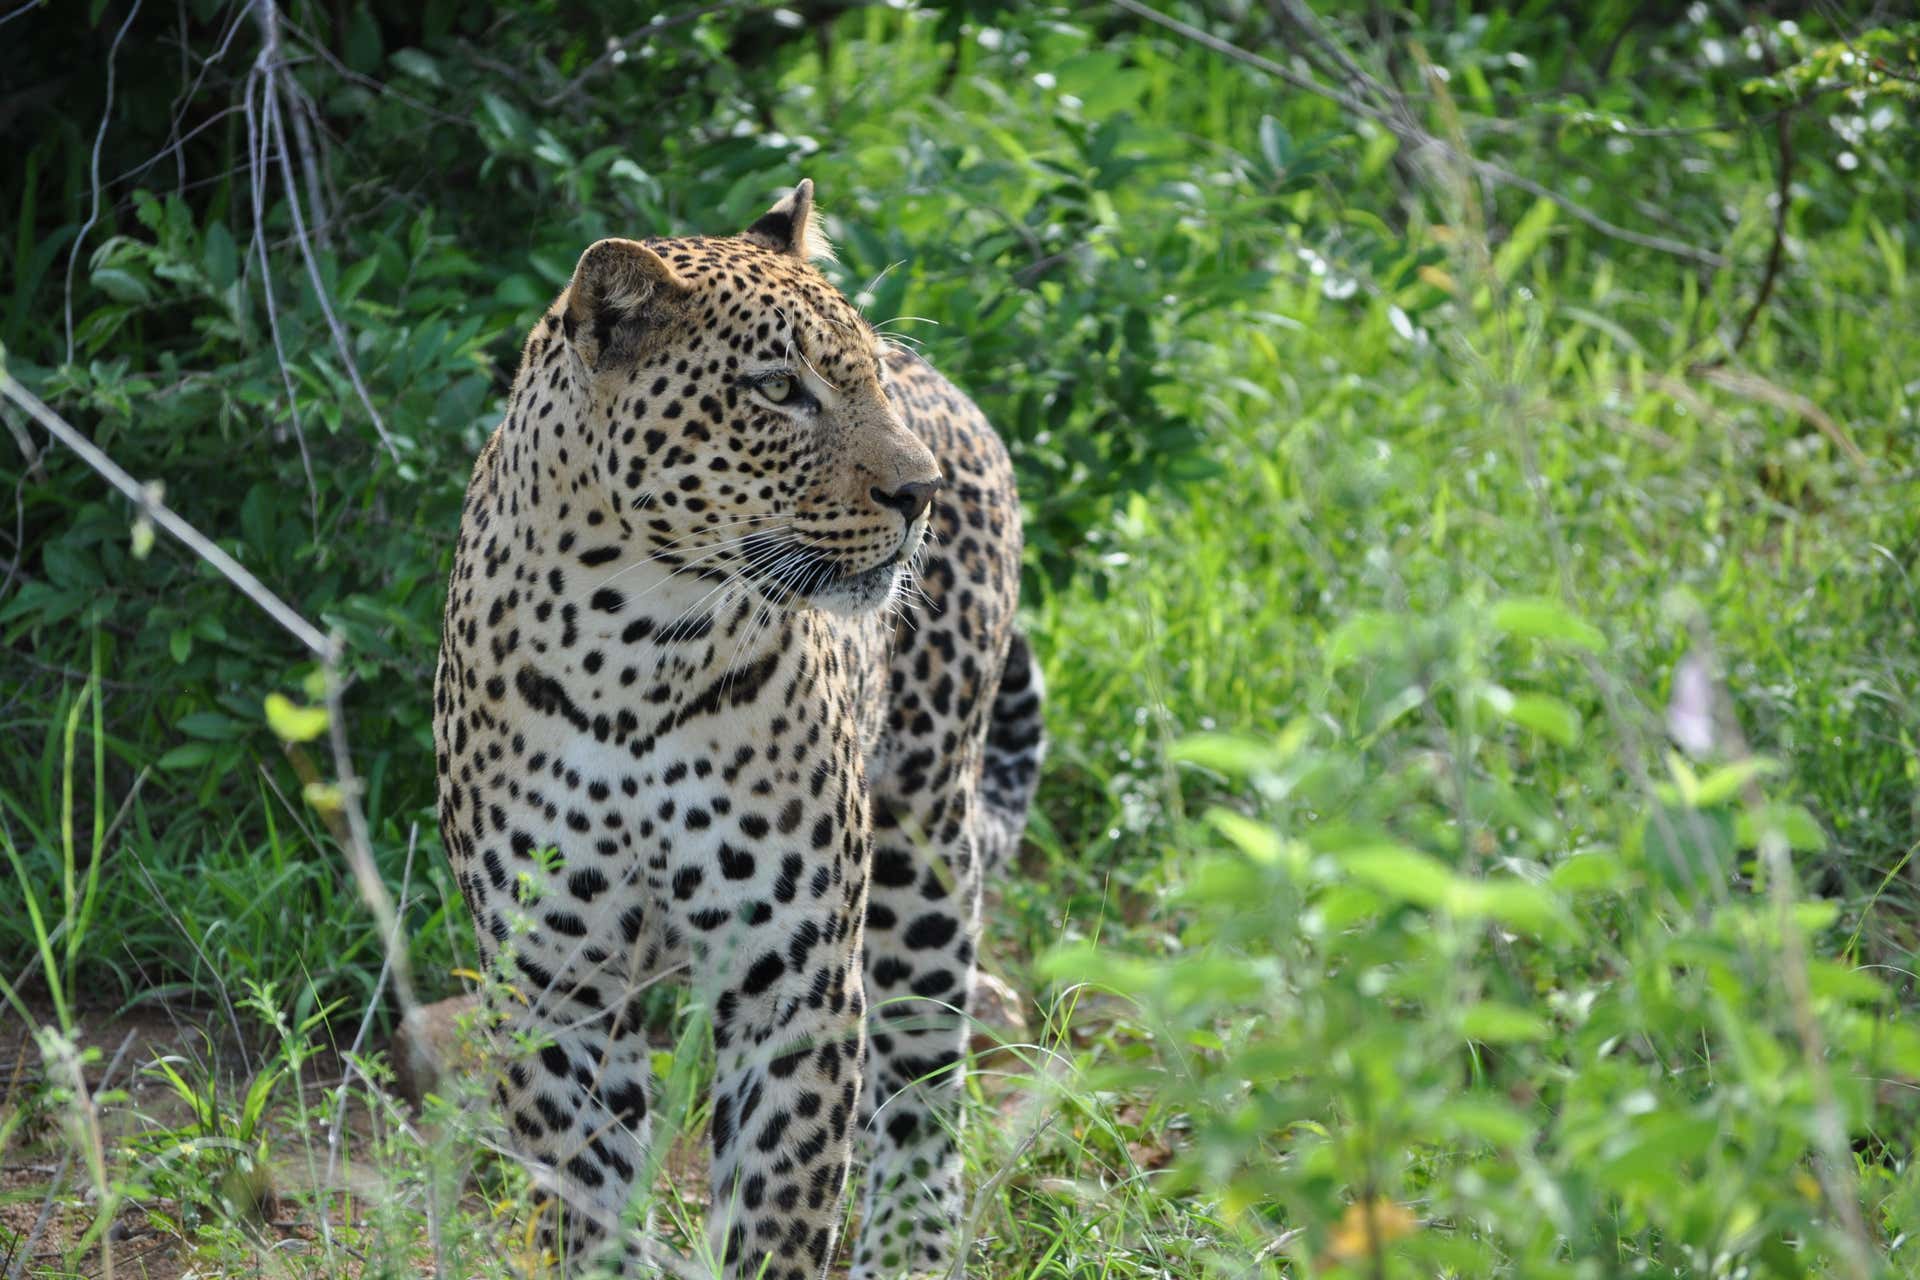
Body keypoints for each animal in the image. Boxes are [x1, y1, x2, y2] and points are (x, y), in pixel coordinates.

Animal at [433, 182, 1044, 1280]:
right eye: (776, 388)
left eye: (864, 373)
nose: (921, 492)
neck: (629, 651)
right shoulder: (552, 974)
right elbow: (589, 1193)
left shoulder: (794, 973)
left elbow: (777, 1199)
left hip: (922, 838)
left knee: (924, 1071)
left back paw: (908, 1243)